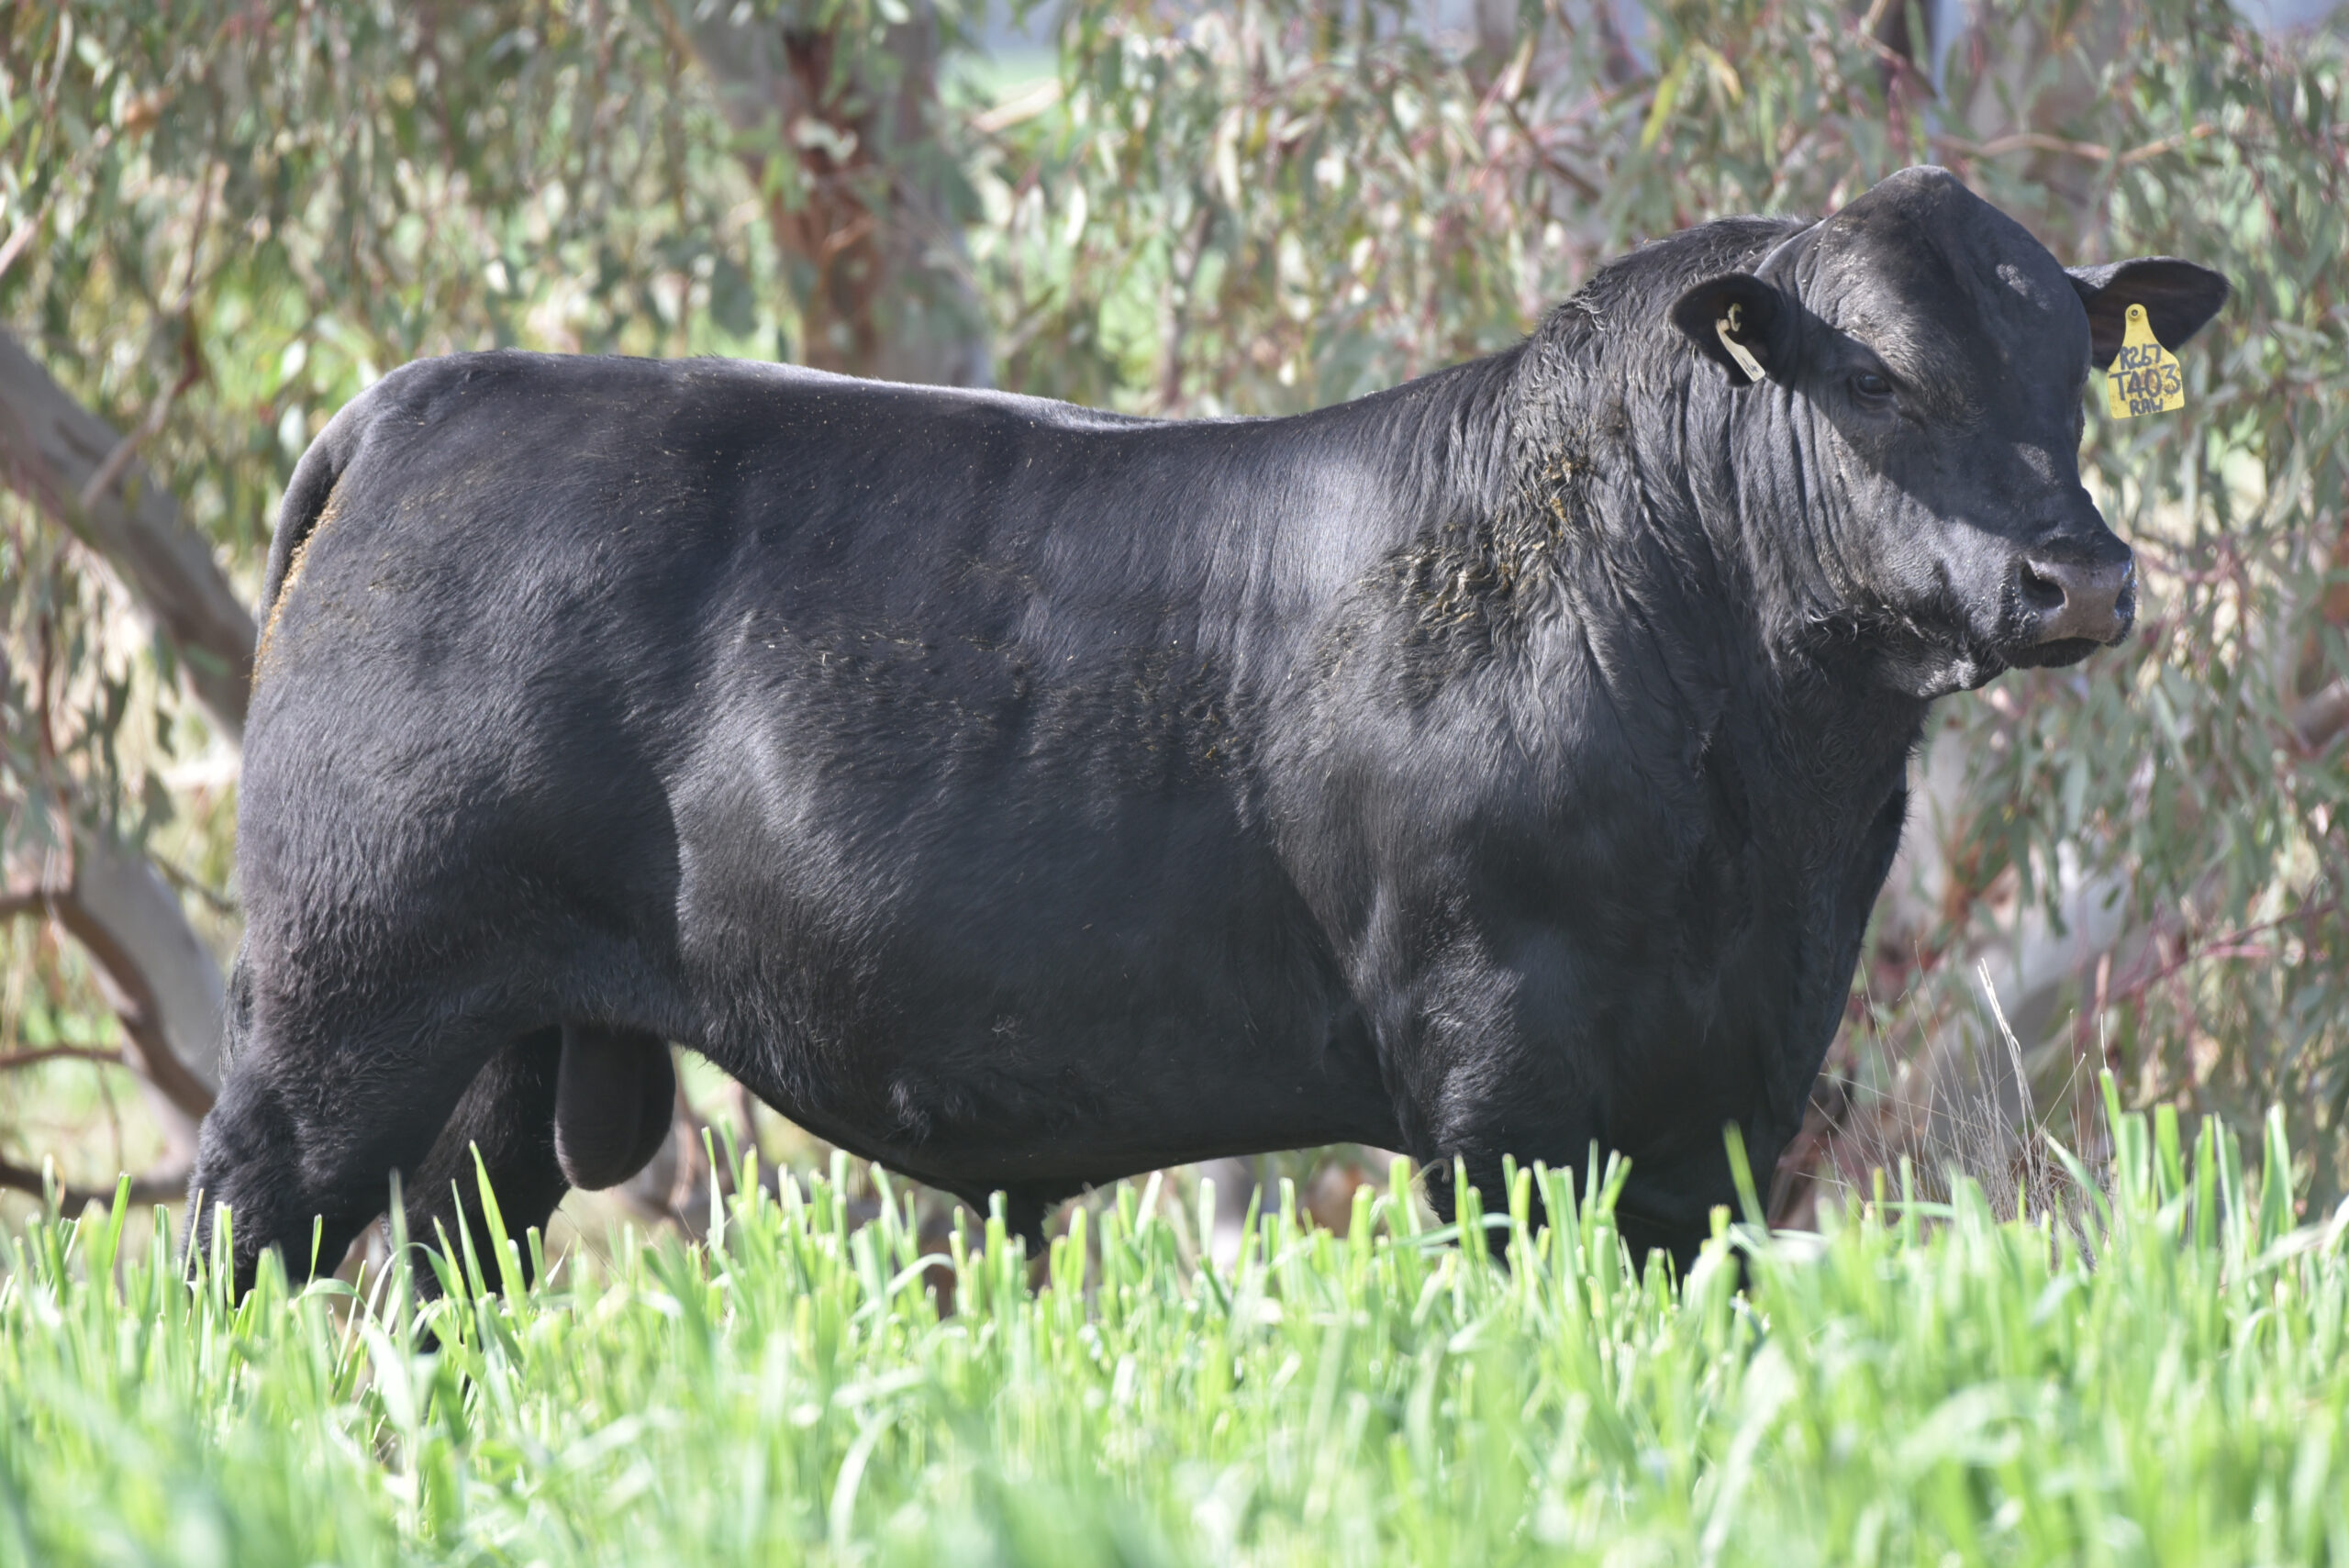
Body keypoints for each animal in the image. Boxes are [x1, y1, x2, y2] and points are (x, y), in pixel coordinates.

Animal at [188, 167, 2227, 1288]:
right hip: (339, 1001)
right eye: (1873, 375)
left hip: (501, 1051)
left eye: (2072, 365)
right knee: (231, 1232)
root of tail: (440, 387)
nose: (2076, 578)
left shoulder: (1730, 1094)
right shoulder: (1499, 1083)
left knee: (445, 1268)